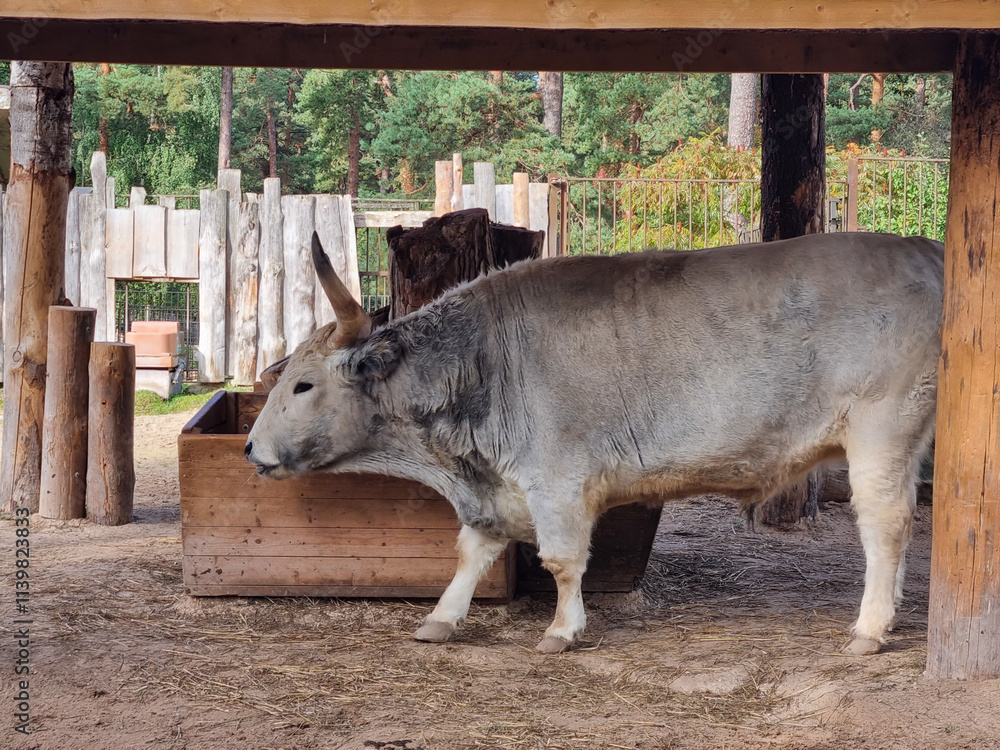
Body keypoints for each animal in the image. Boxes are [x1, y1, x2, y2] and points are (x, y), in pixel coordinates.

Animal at [245, 232, 943, 656]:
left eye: (304, 383)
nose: (251, 449)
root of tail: (921, 249)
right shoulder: (495, 490)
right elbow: (472, 553)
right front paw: (441, 618)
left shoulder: (557, 480)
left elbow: (561, 560)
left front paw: (562, 629)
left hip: (880, 431)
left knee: (884, 524)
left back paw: (869, 627)